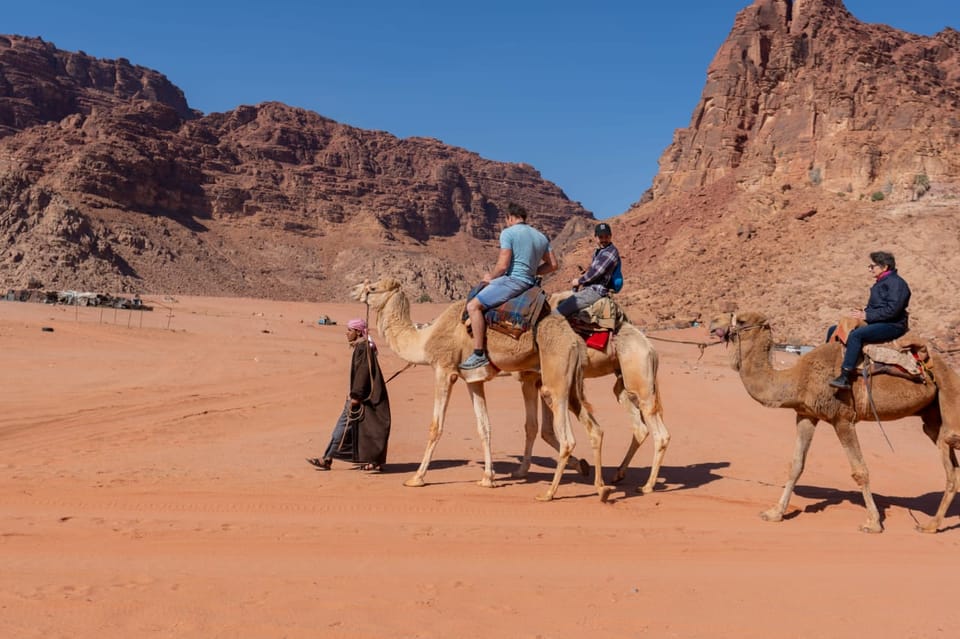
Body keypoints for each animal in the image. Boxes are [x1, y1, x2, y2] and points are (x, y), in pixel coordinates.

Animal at [352, 278, 614, 501]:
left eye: (373, 287)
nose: (354, 290)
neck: (425, 339)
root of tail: (575, 341)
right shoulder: (473, 380)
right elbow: (484, 427)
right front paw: (488, 478)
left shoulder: (444, 370)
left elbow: (436, 426)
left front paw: (417, 477)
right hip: (570, 384)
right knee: (594, 429)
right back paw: (600, 487)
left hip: (555, 380)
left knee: (567, 438)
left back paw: (549, 493)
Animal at [514, 301, 670, 495]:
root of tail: (651, 348)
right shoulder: (543, 382)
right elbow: (546, 431)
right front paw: (581, 465)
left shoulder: (528, 379)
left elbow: (532, 427)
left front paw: (521, 471)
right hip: (626, 384)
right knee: (640, 427)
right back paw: (619, 474)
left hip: (640, 382)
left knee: (660, 434)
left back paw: (647, 486)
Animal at [710, 310, 960, 533]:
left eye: (742, 320)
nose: (712, 322)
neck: (799, 379)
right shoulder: (807, 415)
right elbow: (796, 465)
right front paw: (774, 513)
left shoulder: (842, 419)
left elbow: (860, 470)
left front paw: (873, 523)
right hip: (931, 417)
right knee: (952, 470)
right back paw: (930, 526)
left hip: (949, 403)